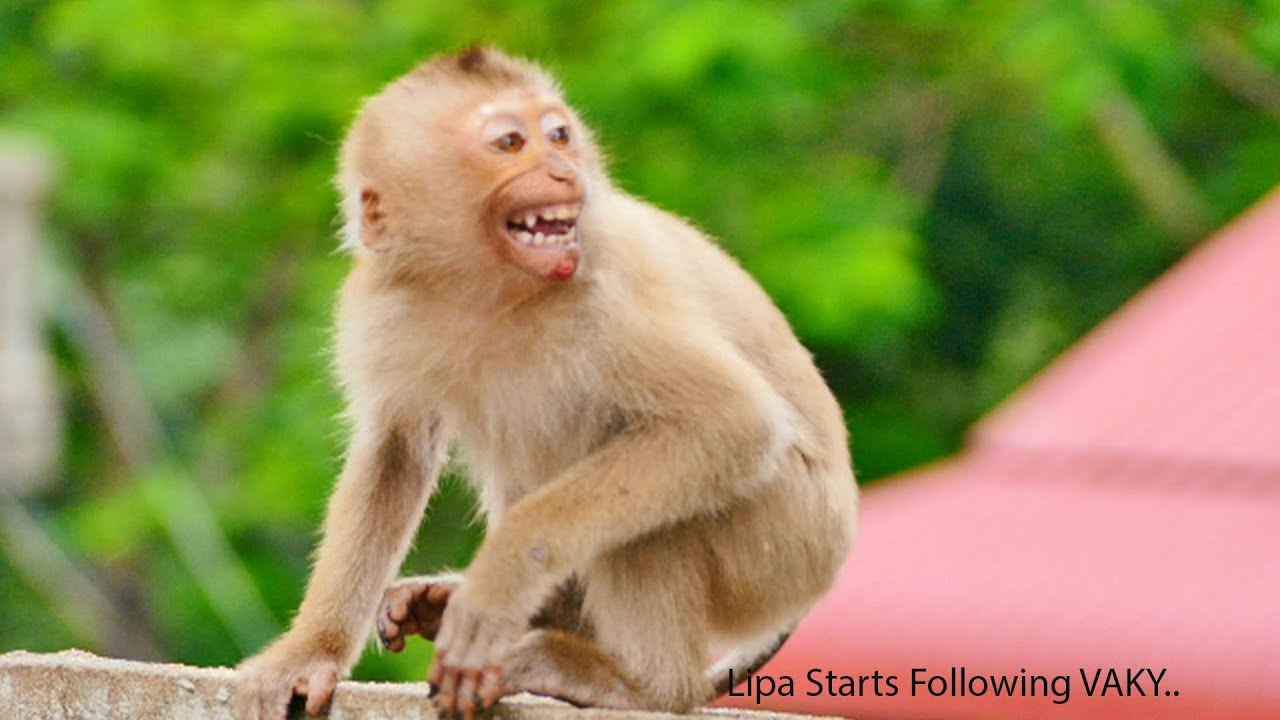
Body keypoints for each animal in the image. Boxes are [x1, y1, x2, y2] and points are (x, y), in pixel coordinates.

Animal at [236, 46, 857, 720]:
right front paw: (309, 653)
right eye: (510, 143)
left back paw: (641, 684)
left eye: (557, 135)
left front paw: (499, 580)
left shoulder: (607, 292)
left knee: (656, 493)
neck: (490, 289)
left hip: (787, 546)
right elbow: (395, 453)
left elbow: (730, 422)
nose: (563, 169)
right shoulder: (377, 303)